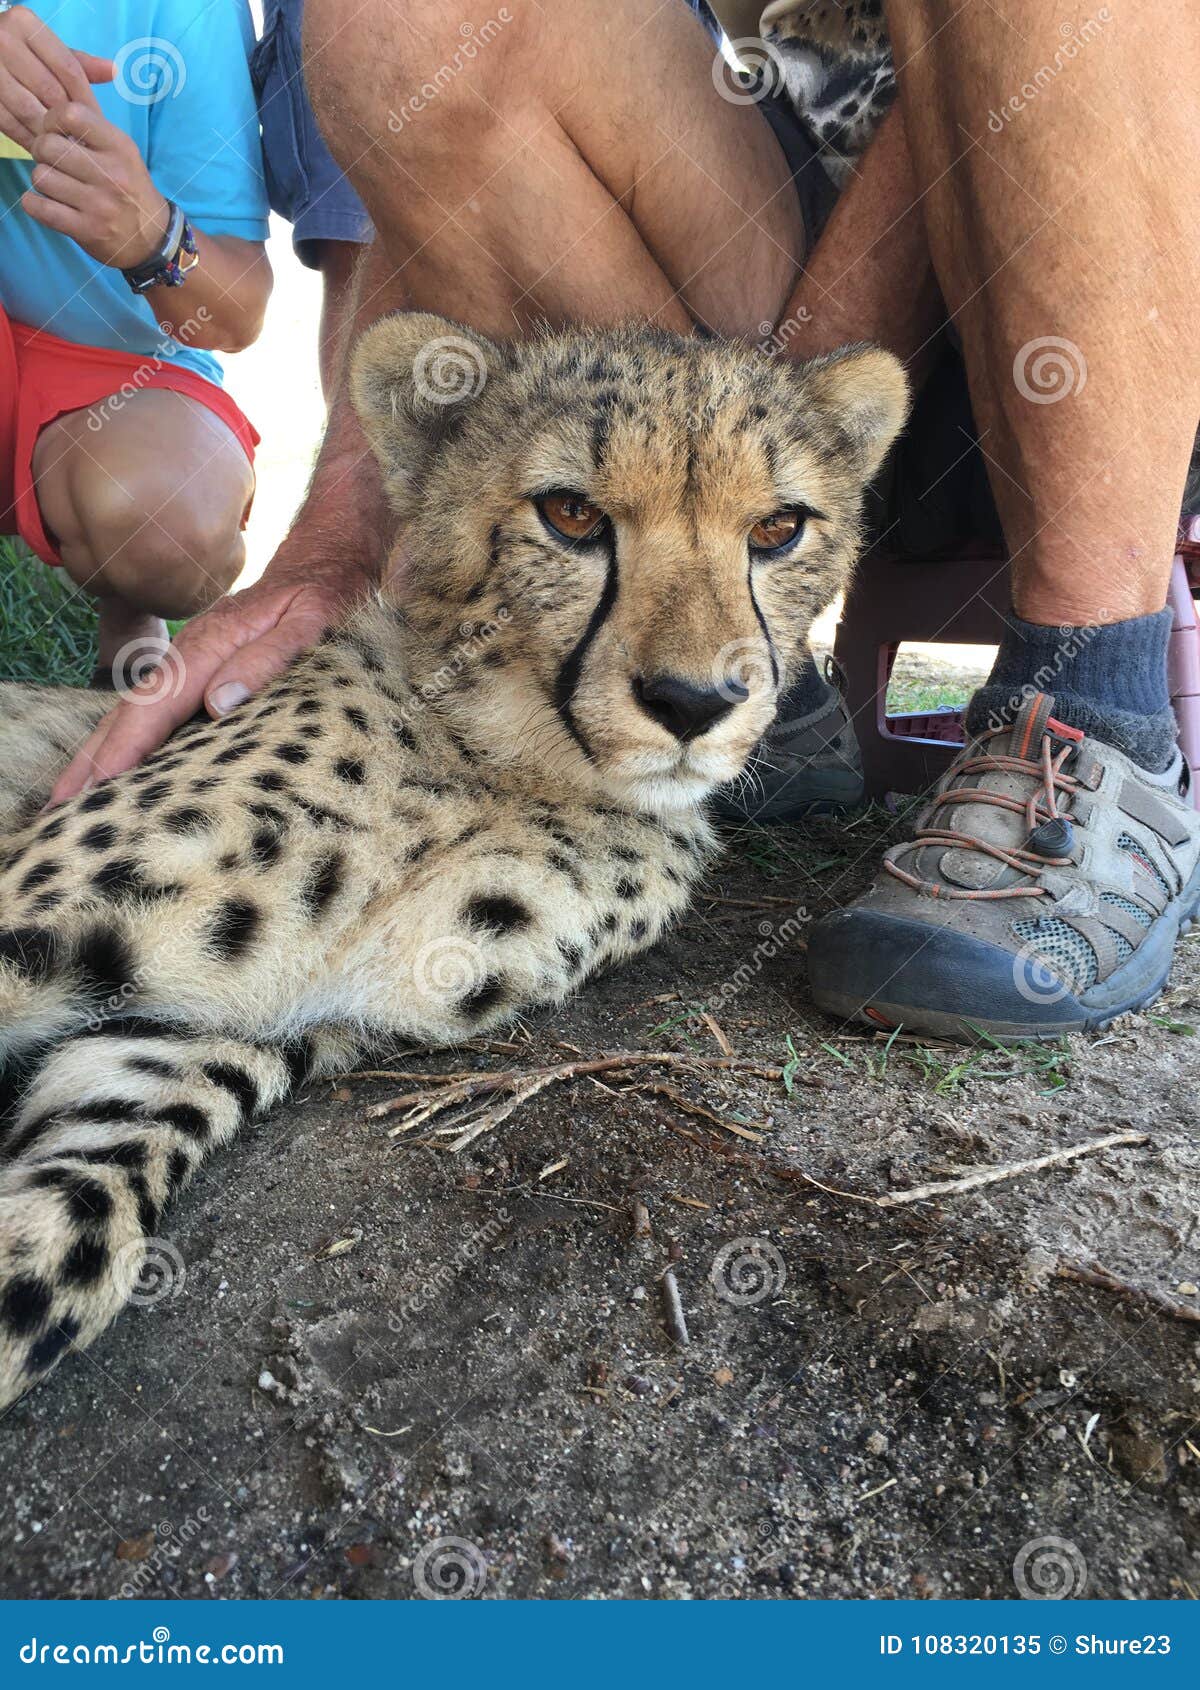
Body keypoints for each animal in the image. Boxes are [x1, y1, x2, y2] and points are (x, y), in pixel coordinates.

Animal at [0, 311, 907, 1409]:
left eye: (777, 530)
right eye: (570, 514)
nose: (694, 702)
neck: (502, 764)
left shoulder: (217, 1025)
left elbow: (70, 1224)